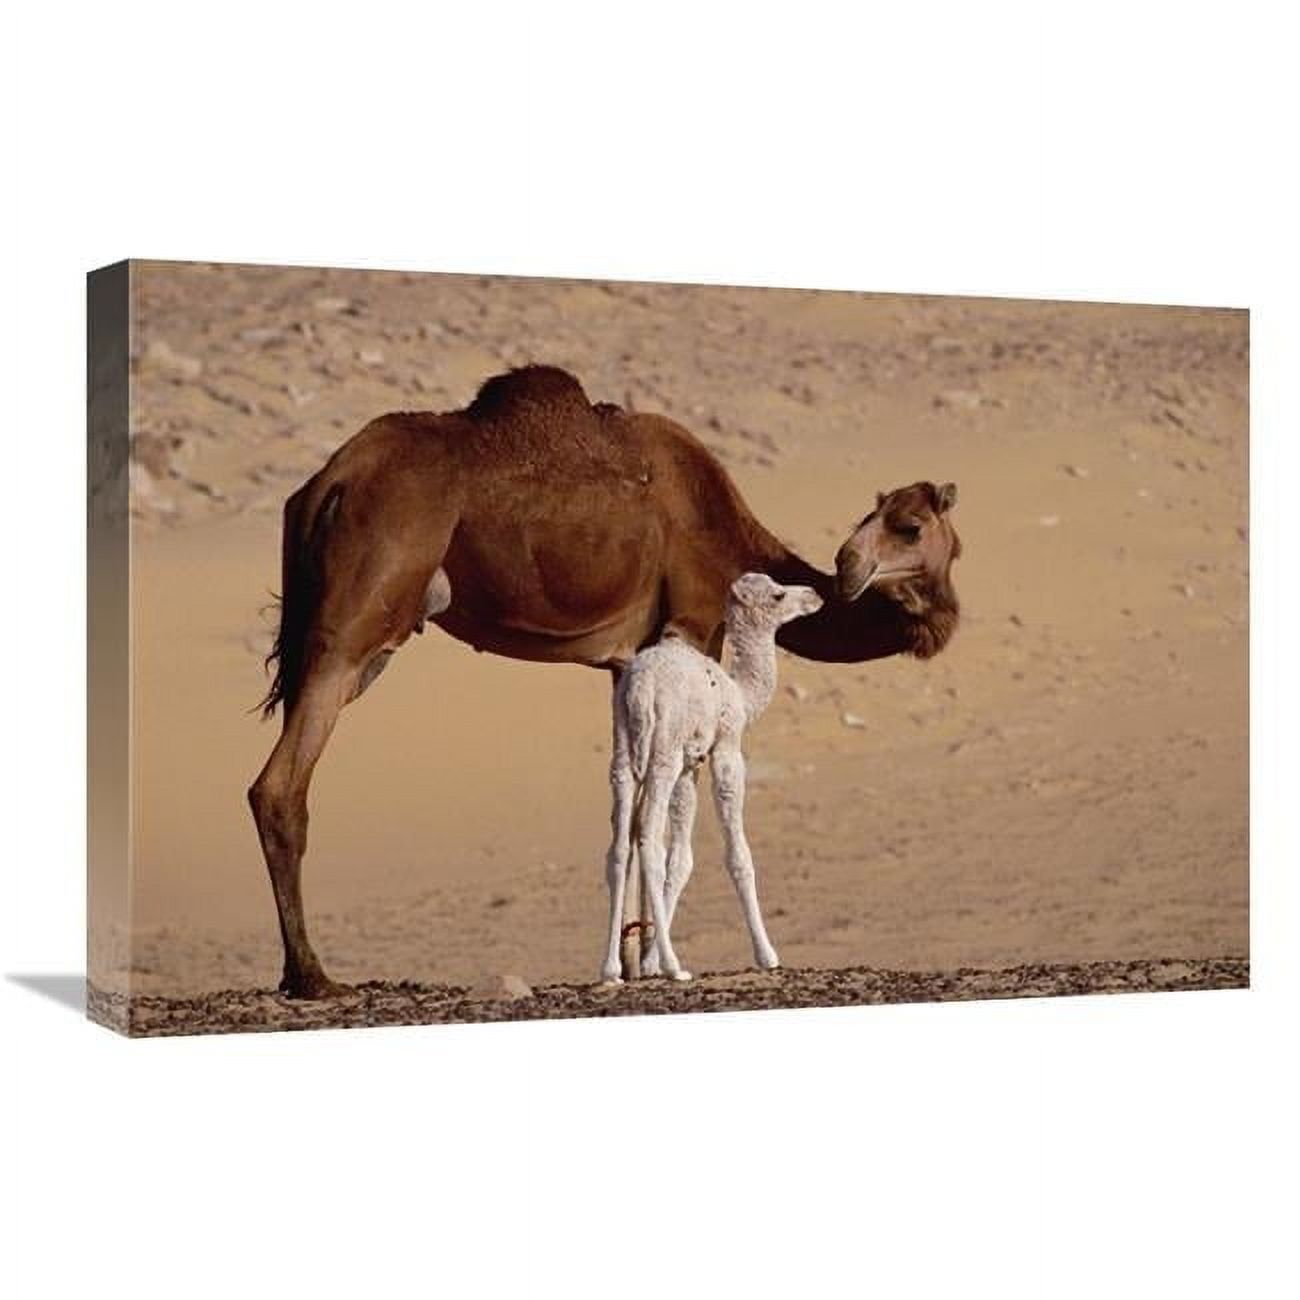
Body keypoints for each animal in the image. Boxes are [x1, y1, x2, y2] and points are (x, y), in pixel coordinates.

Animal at [603, 573, 823, 984]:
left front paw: (650, 963)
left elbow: (682, 860)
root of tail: (640, 688)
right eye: (778, 594)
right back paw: (676, 968)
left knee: (620, 846)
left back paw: (610, 969)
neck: (739, 692)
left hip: (624, 750)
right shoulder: (725, 750)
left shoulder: (691, 766)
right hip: (664, 750)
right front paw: (767, 954)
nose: (815, 595)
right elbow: (738, 854)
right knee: (648, 838)